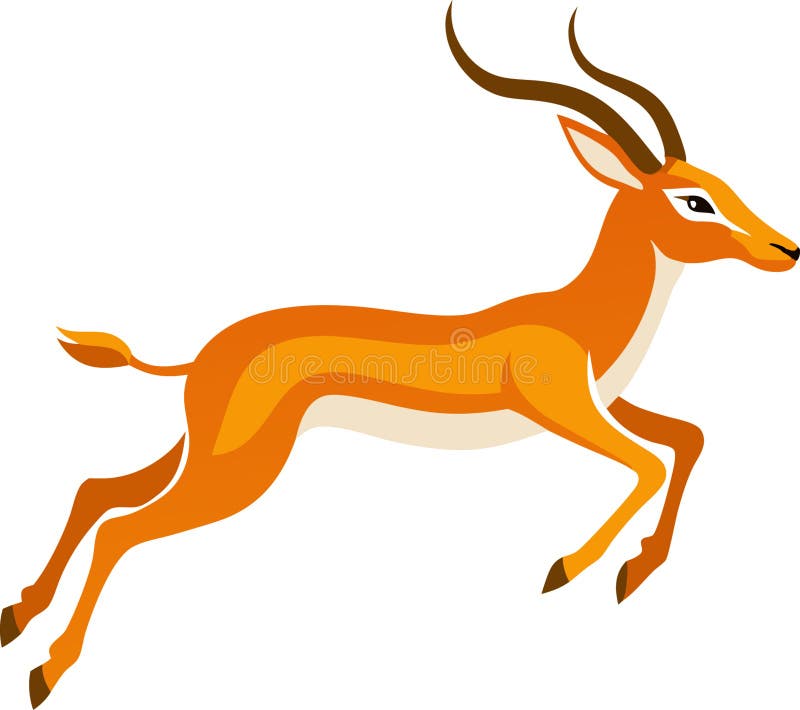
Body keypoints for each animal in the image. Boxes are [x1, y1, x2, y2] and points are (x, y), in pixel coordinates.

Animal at [2, 5, 797, 707]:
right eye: (695, 201)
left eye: (721, 184)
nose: (785, 249)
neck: (585, 317)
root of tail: (199, 356)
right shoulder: (564, 408)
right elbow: (650, 462)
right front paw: (567, 569)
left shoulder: (606, 403)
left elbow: (688, 438)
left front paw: (637, 571)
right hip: (236, 470)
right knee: (120, 527)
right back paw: (47, 671)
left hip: (202, 450)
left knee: (97, 489)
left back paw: (16, 619)